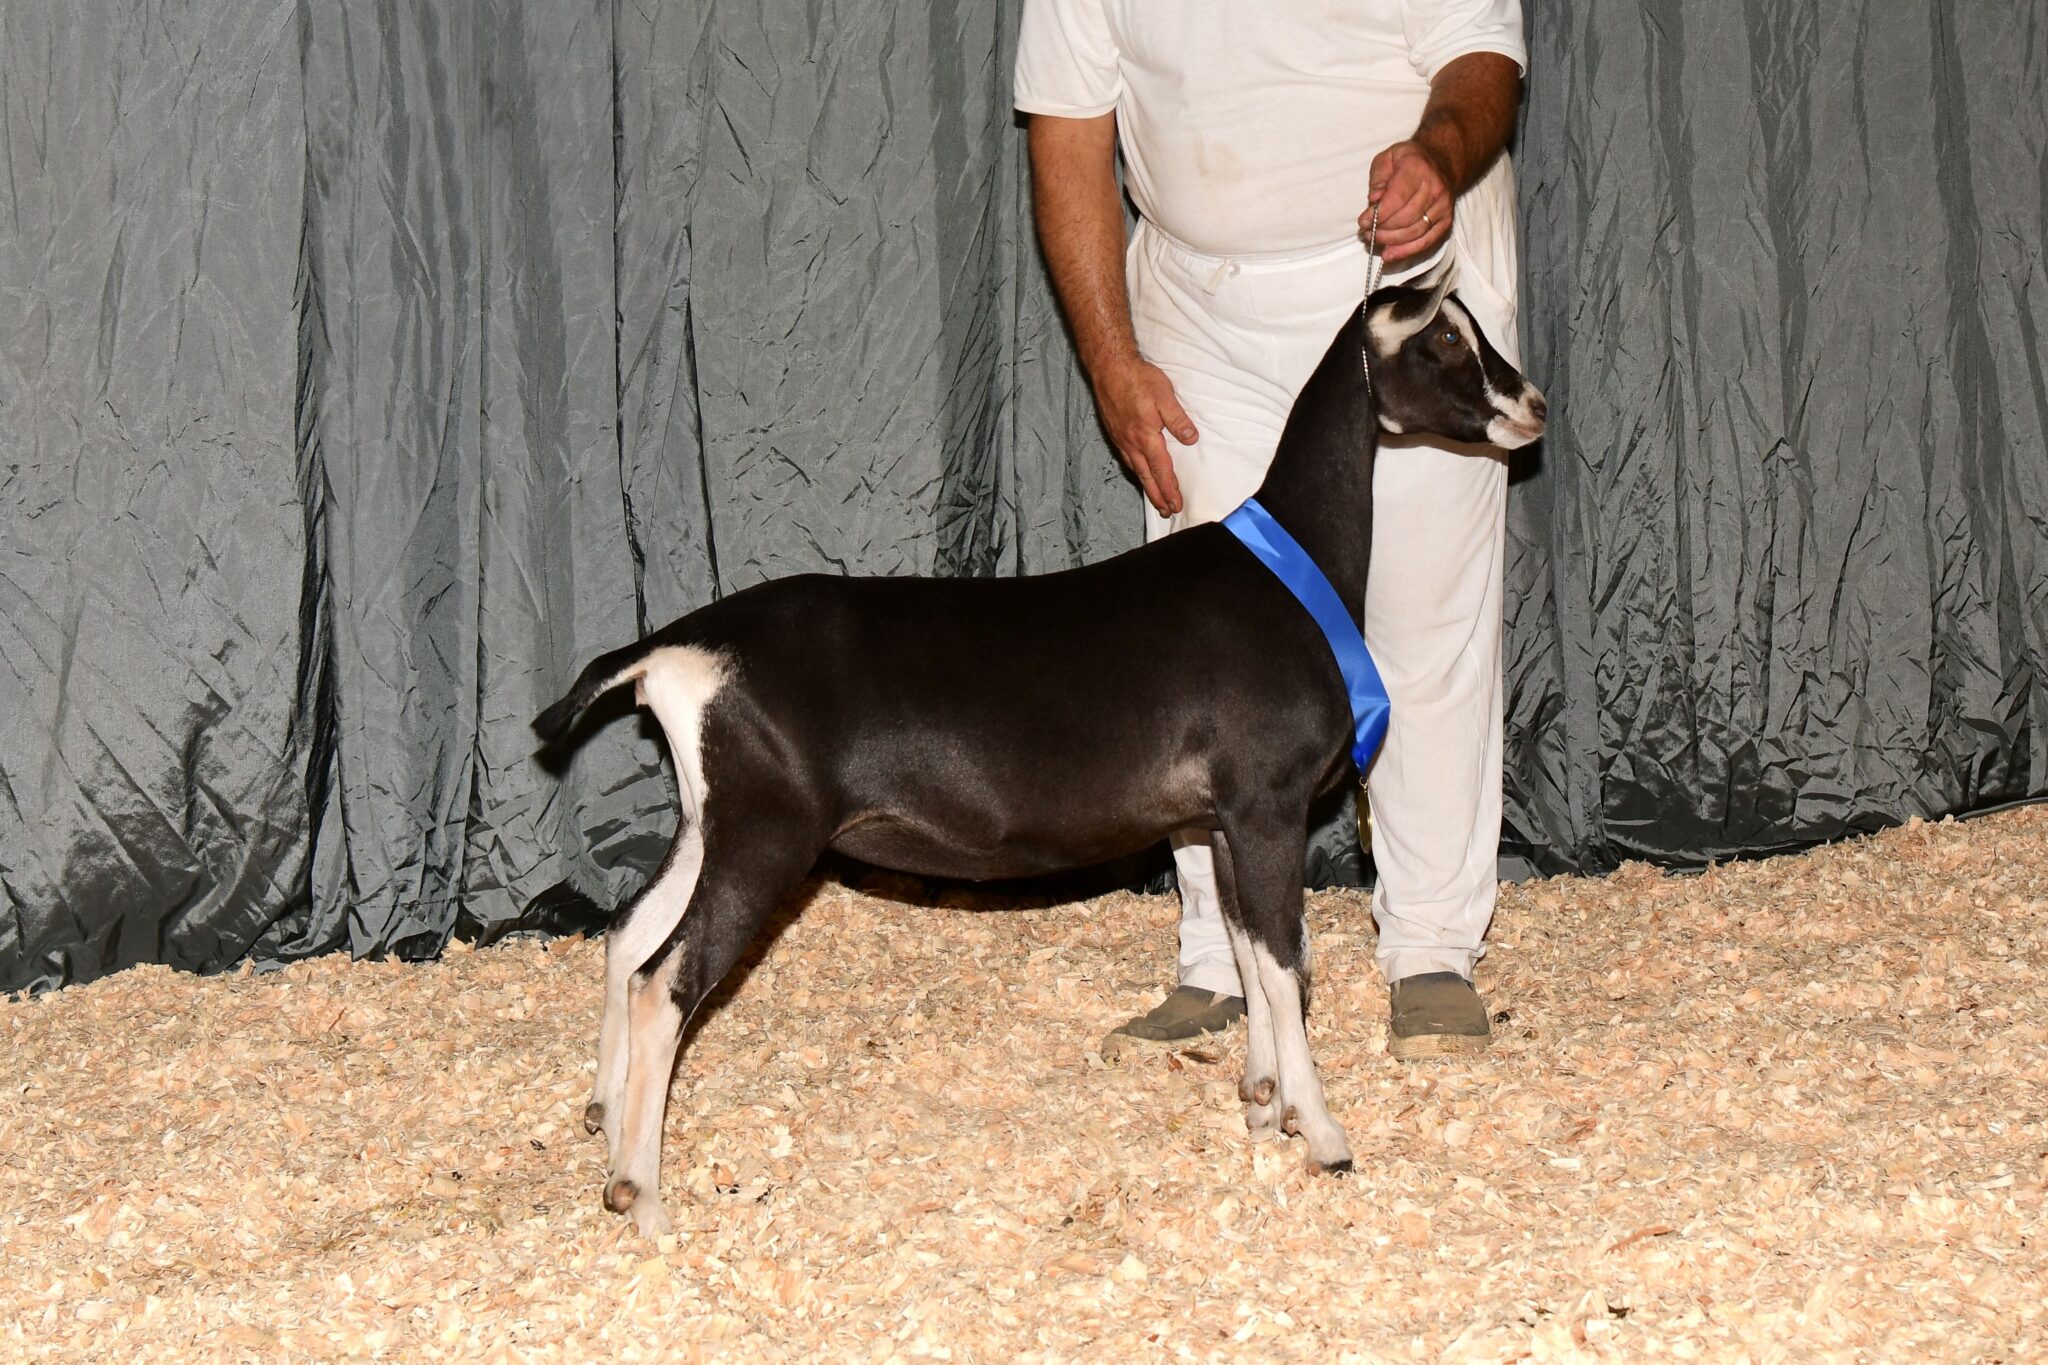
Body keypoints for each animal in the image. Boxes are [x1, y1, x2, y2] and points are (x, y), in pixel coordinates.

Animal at [534, 260, 1546, 1236]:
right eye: (1445, 337)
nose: (1533, 403)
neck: (1292, 564)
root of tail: (677, 649)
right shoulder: (1269, 800)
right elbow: (1290, 963)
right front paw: (1324, 1134)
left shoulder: (1222, 817)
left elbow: (1253, 956)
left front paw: (1262, 1101)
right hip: (766, 827)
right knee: (665, 978)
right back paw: (642, 1195)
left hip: (711, 817)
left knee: (628, 936)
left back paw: (604, 1122)